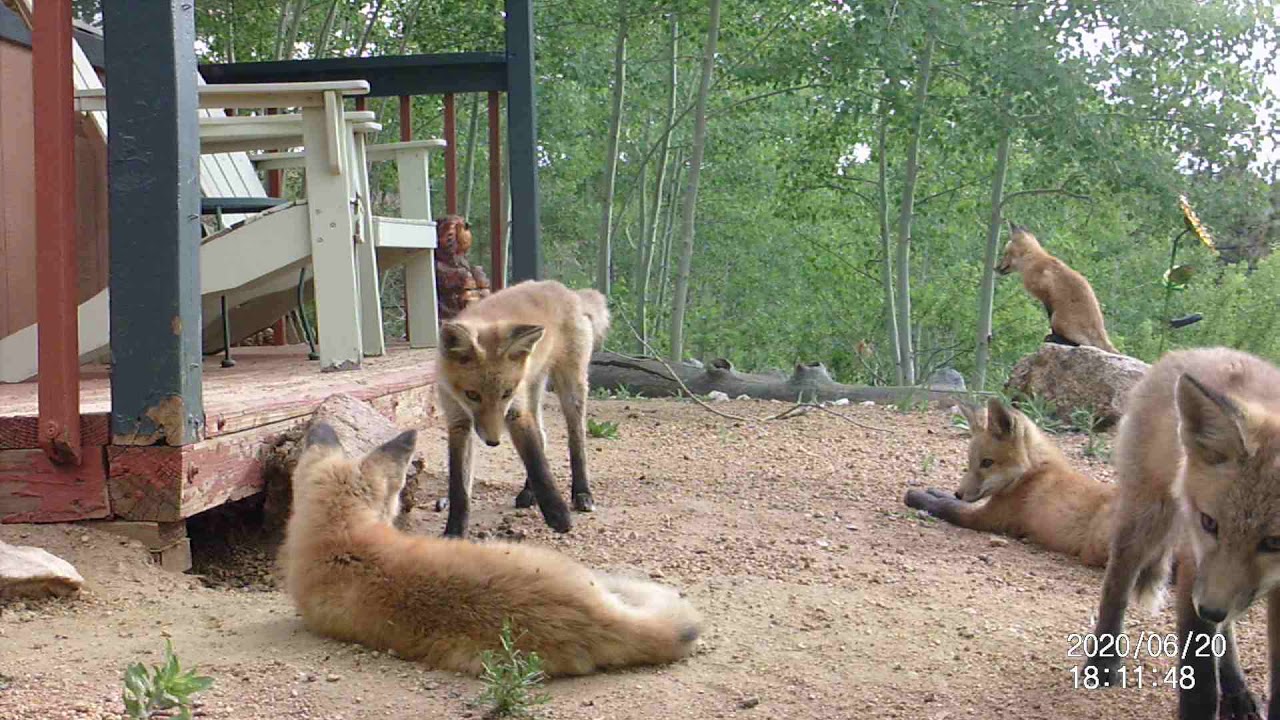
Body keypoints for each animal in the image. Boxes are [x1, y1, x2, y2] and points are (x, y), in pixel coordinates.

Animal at [436, 279, 610, 537]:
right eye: (472, 395)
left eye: (506, 393)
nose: (493, 442)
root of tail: (567, 291)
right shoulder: (458, 421)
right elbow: (458, 486)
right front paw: (454, 532)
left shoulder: (515, 411)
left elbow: (537, 463)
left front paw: (559, 515)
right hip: (532, 388)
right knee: (542, 436)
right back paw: (529, 492)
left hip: (571, 387)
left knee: (576, 441)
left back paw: (582, 493)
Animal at [904, 399, 1116, 567]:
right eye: (970, 462)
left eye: (987, 463)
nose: (959, 493)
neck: (1031, 474)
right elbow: (946, 498)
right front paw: (934, 491)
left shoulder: (986, 518)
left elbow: (946, 506)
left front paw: (916, 496)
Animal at [996, 221, 1119, 353]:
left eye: (1005, 253)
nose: (995, 268)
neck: (1032, 261)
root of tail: (1101, 333)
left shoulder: (1047, 297)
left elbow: (1050, 321)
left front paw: (1052, 337)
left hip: (1058, 318)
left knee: (1080, 344)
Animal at [1084, 347, 1280, 720]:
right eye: (1209, 523)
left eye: (1275, 541)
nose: (1211, 610)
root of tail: (1191, 351)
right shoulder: (1195, 562)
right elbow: (1200, 676)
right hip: (1148, 518)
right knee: (1116, 582)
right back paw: (1102, 661)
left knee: (1225, 630)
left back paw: (1236, 690)